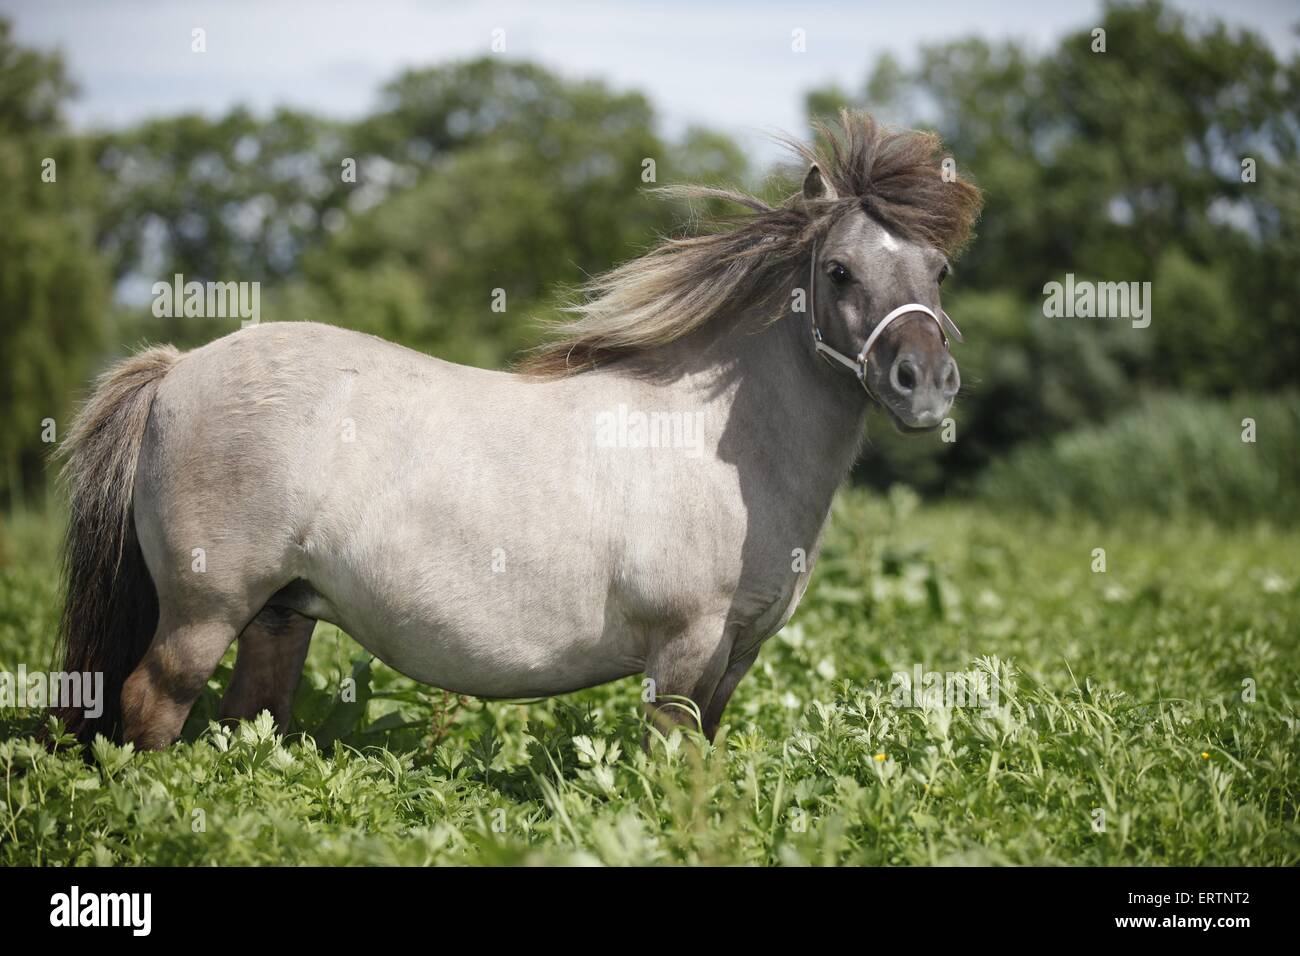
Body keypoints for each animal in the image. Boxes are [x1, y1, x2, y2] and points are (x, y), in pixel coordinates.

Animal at [53, 110, 981, 749]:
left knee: (252, 723)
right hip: (202, 616)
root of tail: (177, 369)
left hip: (282, 614)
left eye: (937, 271)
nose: (926, 385)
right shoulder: (684, 652)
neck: (726, 443)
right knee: (151, 706)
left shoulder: (737, 657)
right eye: (840, 270)